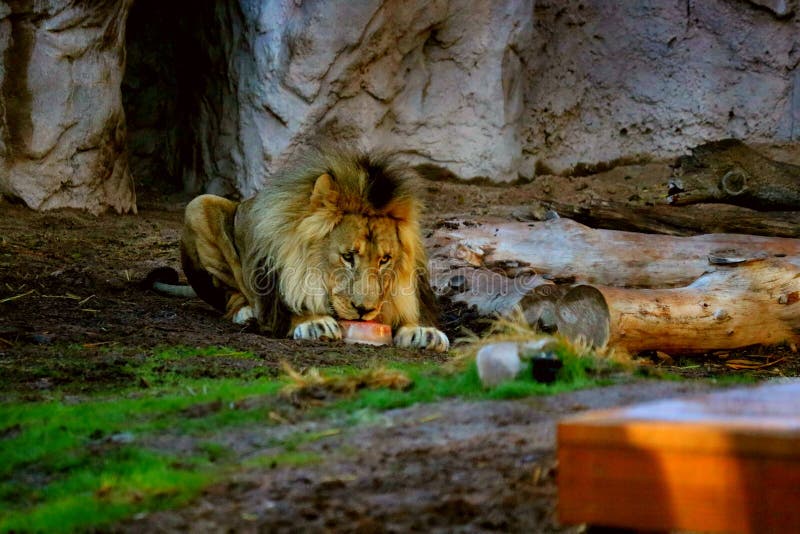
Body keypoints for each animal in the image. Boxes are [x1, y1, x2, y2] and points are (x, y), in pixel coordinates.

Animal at [167, 146, 449, 352]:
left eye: (385, 260)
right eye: (348, 257)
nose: (364, 310)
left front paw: (423, 331)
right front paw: (315, 323)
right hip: (198, 205)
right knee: (232, 293)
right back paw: (245, 313)